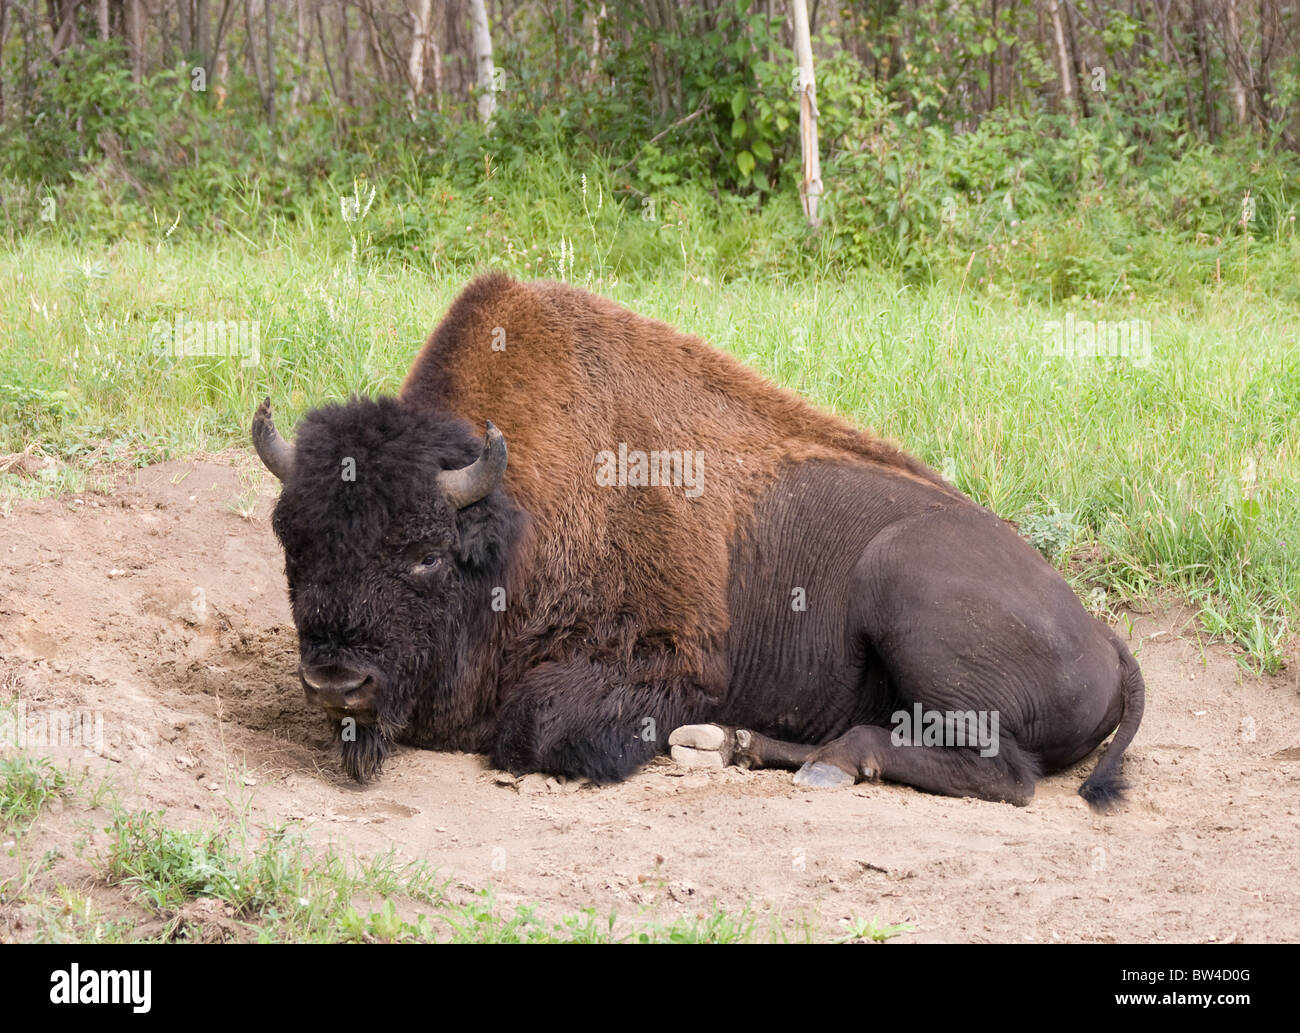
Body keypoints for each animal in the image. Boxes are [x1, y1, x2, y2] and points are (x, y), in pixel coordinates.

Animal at [253, 273, 1143, 809]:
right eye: (292, 545)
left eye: (426, 554)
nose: (335, 680)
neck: (512, 519)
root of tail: (1103, 634)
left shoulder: (671, 661)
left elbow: (535, 728)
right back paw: (731, 745)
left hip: (908, 588)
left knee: (1002, 771)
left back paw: (830, 760)